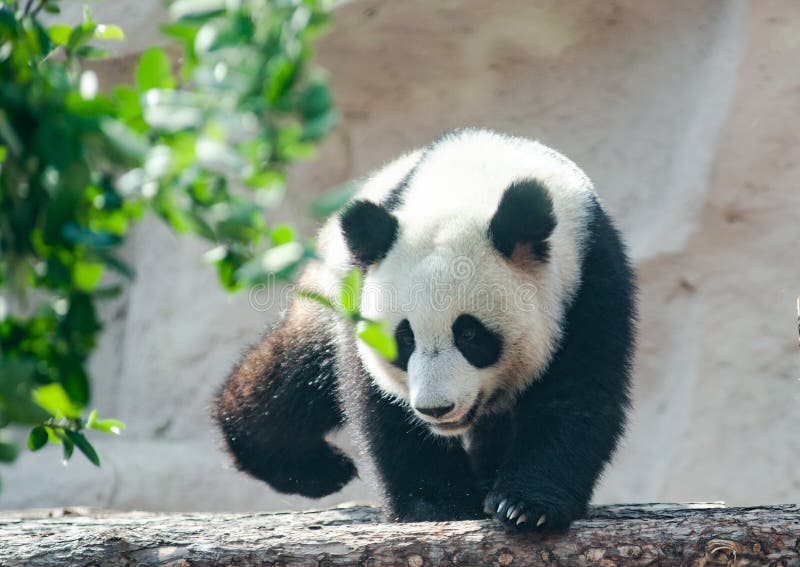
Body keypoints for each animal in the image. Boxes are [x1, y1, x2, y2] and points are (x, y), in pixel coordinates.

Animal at [214, 128, 637, 531]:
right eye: (404, 339)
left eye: (470, 335)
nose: (436, 409)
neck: (473, 180)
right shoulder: (362, 291)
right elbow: (386, 408)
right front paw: (442, 505)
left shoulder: (590, 275)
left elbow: (577, 392)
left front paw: (525, 507)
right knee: (295, 378)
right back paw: (312, 466)